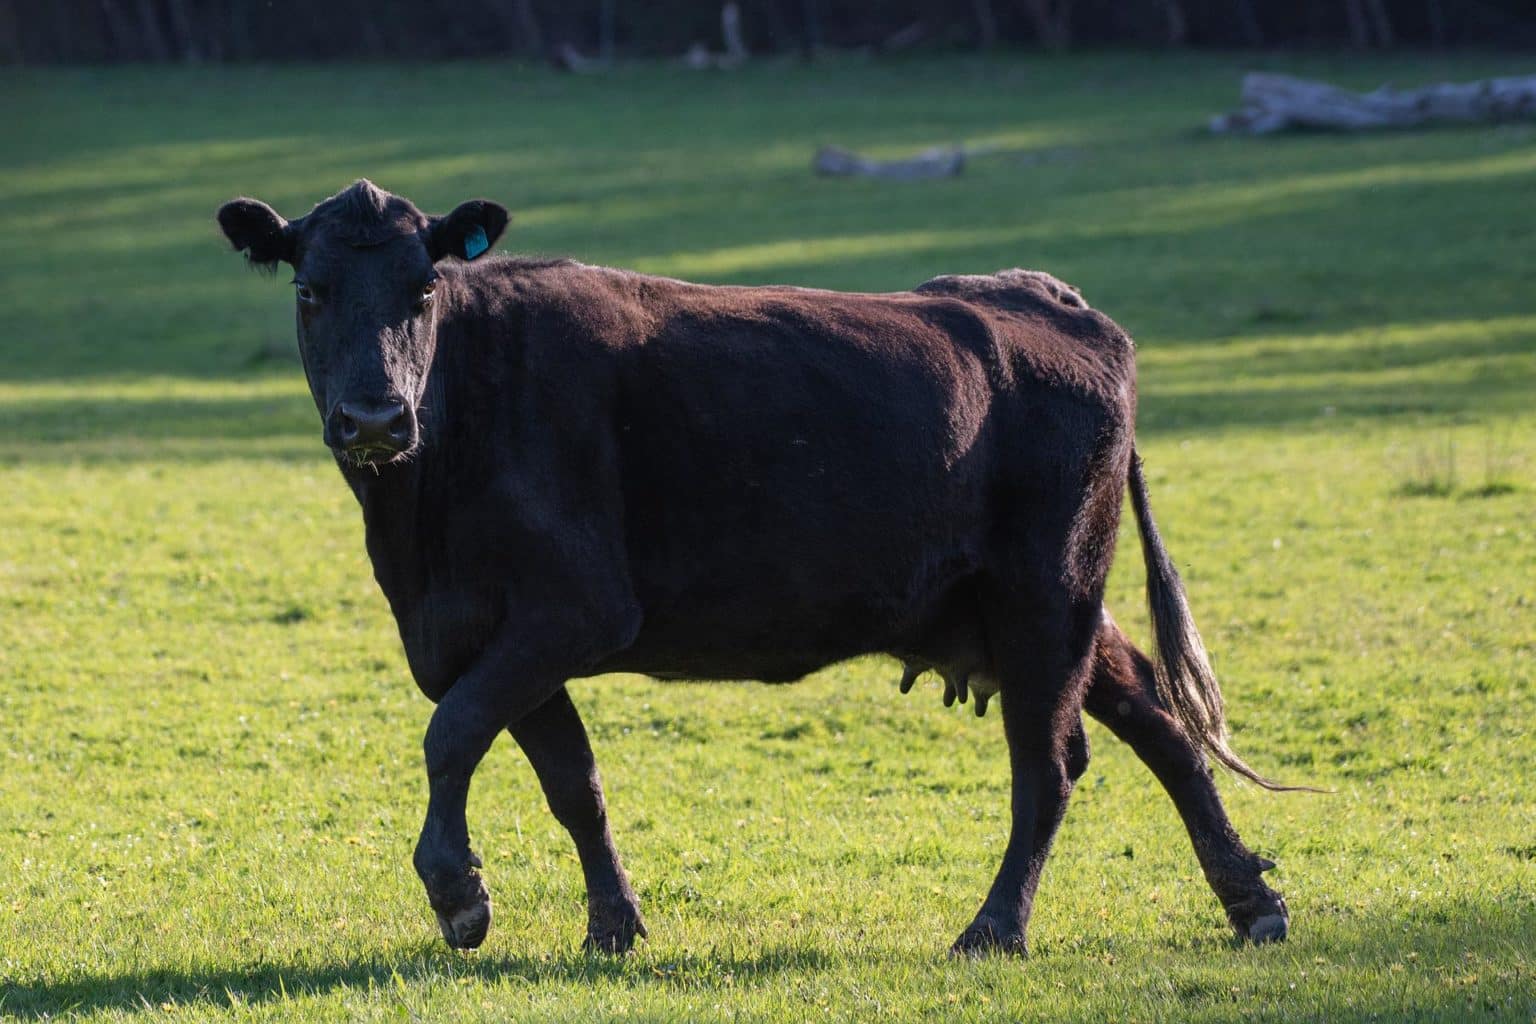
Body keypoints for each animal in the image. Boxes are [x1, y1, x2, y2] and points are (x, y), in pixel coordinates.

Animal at [215, 179, 1290, 957]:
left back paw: (995, 931)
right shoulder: (483, 633)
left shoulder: (573, 610)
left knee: (1052, 764)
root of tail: (1050, 299)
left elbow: (452, 735)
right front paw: (613, 927)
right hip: (1033, 605)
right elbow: (571, 780)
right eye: (309, 290)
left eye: (425, 291)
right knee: (1158, 717)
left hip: (1046, 593)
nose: (374, 418)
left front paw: (458, 895)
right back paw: (1251, 903)